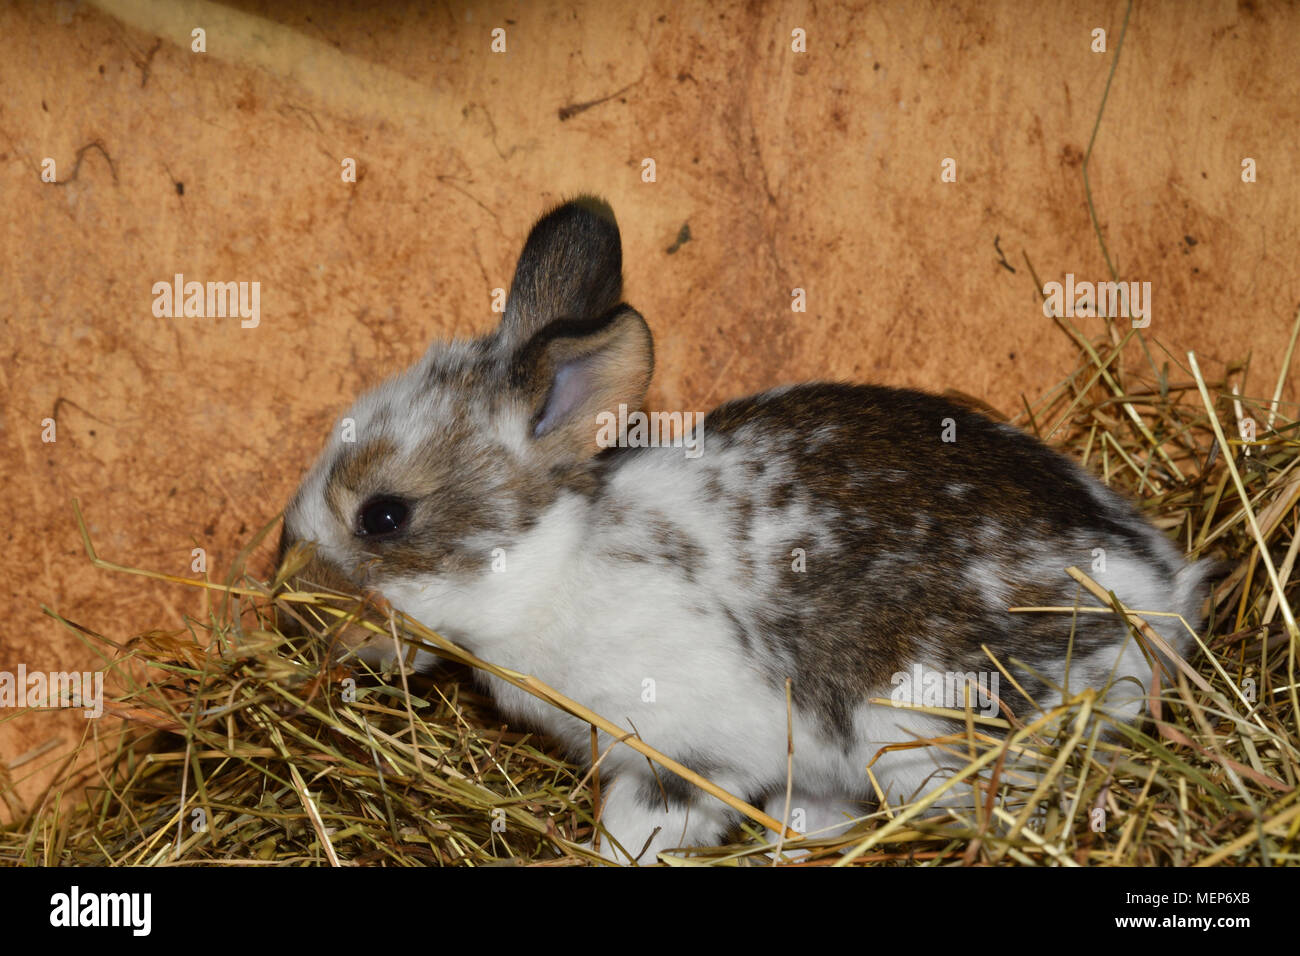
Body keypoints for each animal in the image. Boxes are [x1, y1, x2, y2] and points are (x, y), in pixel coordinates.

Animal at [277, 195, 1207, 863]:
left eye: (384, 515)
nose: (292, 610)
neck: (552, 569)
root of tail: (1161, 593)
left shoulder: (684, 758)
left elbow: (639, 831)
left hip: (920, 735)